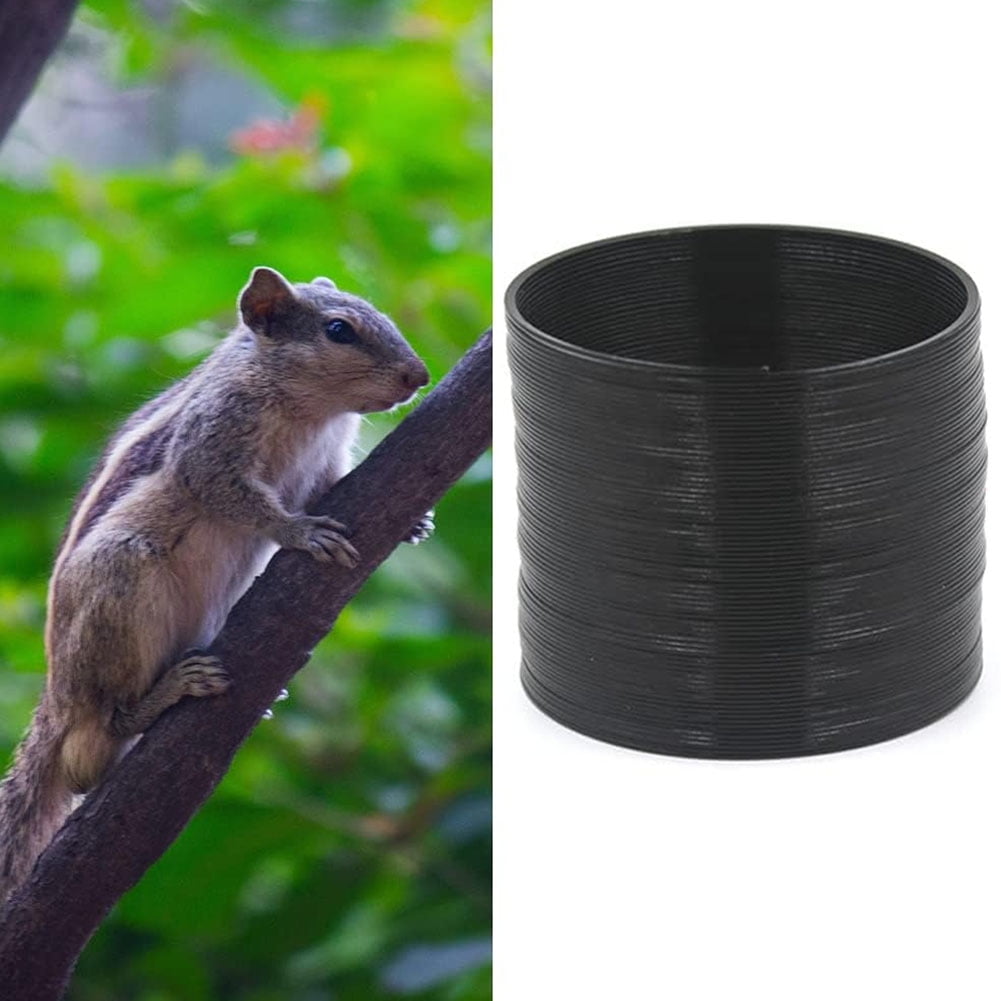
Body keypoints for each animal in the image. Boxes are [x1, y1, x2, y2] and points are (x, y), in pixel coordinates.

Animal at [0, 266, 431, 903]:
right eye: (339, 330)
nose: (418, 376)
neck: (311, 411)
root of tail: (56, 702)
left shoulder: (322, 466)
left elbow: (324, 489)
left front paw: (415, 524)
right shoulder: (213, 439)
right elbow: (229, 491)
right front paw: (299, 531)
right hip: (119, 583)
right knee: (100, 733)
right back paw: (166, 693)